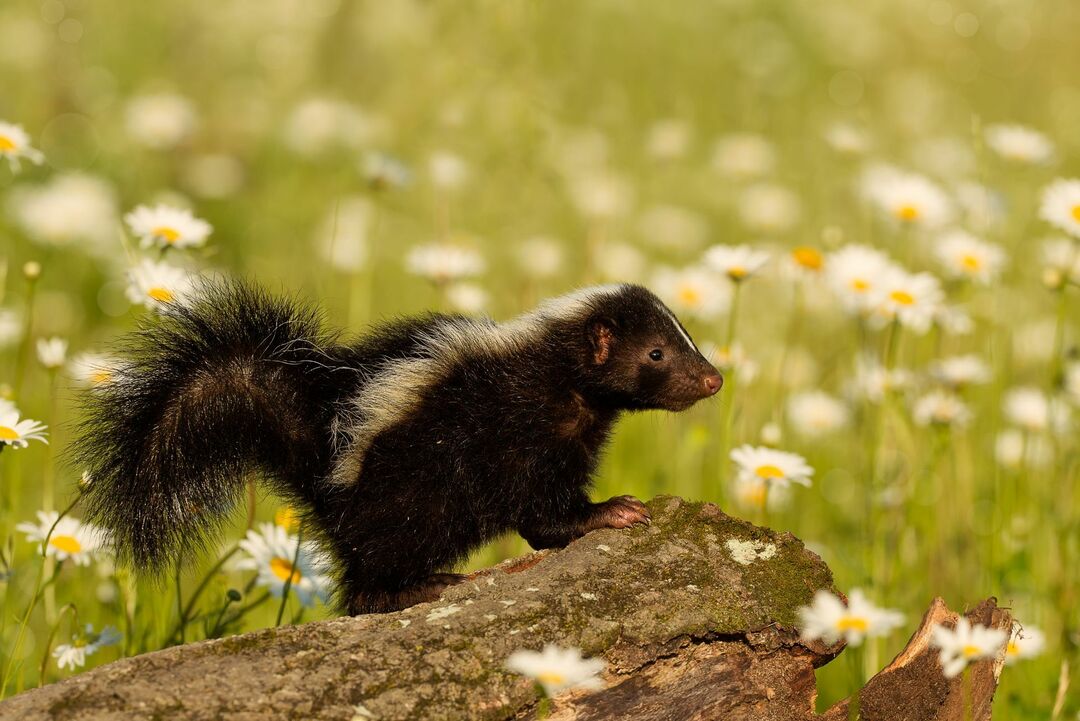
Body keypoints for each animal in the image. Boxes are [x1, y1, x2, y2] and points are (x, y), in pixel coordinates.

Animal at [71, 280, 721, 613]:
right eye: (657, 353)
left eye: (685, 338)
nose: (713, 378)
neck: (556, 373)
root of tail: (323, 455)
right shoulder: (517, 431)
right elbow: (543, 512)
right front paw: (613, 512)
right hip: (405, 492)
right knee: (369, 577)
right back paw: (418, 587)